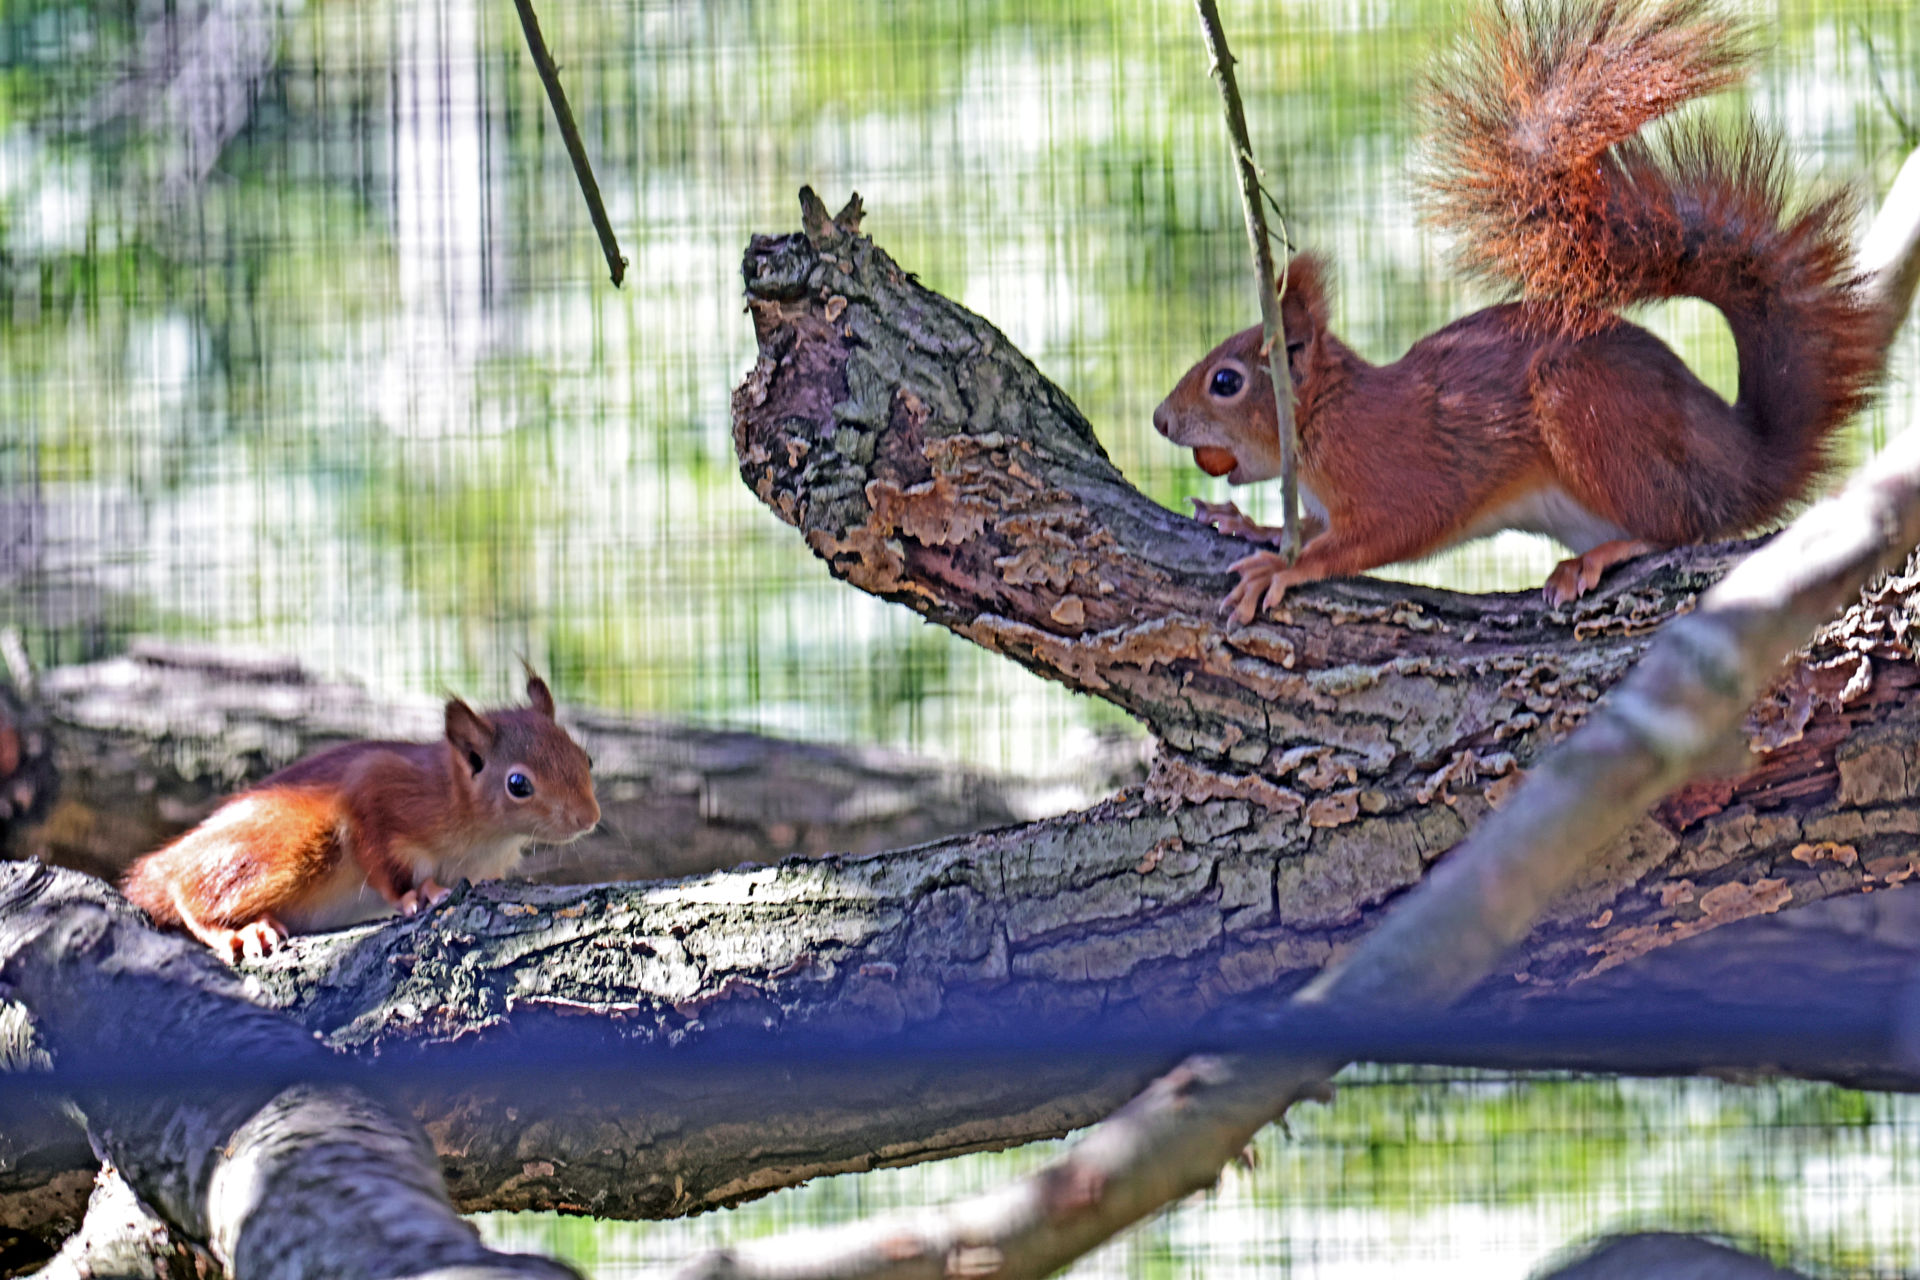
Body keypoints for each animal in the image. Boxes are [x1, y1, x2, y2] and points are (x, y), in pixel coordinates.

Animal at [120, 671, 600, 961]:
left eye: (587, 759)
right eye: (518, 784)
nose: (590, 818)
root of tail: (164, 862)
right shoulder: (377, 791)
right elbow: (382, 861)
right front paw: (416, 894)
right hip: (288, 847)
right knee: (187, 892)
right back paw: (236, 931)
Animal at [1153, 0, 1882, 624]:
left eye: (1225, 381)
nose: (1160, 421)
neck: (1324, 416)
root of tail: (1746, 461)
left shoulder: (1395, 472)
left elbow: (1383, 531)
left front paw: (1283, 567)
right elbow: (1305, 525)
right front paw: (1250, 523)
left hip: (1589, 407)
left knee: (1681, 526)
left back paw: (1596, 559)